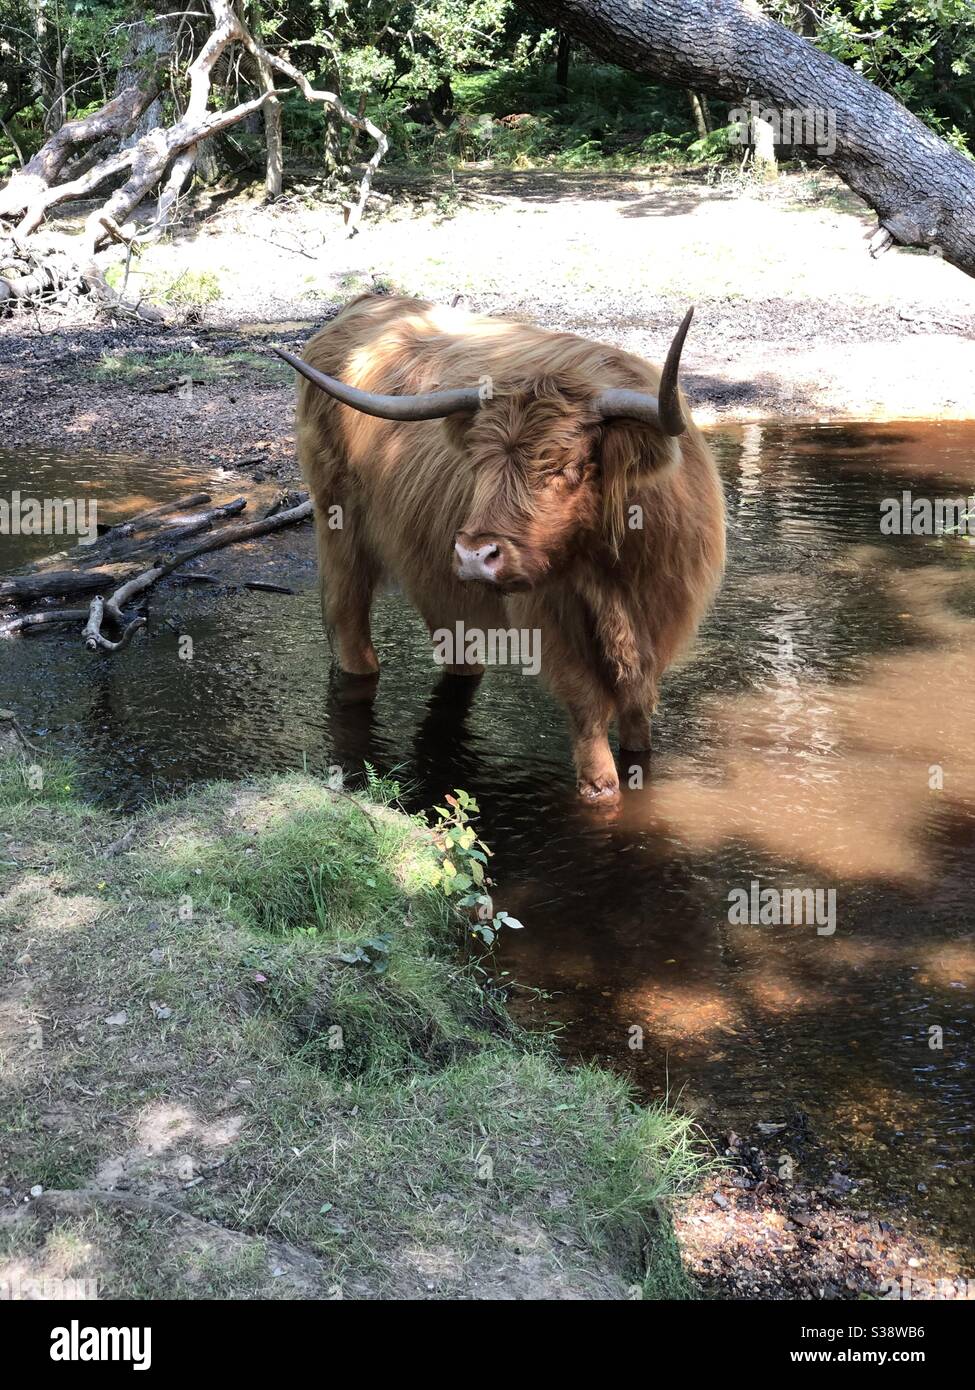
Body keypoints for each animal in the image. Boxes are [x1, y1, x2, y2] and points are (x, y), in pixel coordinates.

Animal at [275, 295, 725, 802]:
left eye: (566, 467)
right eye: (480, 461)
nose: (476, 554)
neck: (615, 575)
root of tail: (369, 302)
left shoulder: (660, 620)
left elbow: (637, 717)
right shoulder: (552, 624)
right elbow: (589, 715)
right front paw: (600, 789)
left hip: (433, 568)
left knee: (456, 648)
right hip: (338, 527)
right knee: (348, 623)